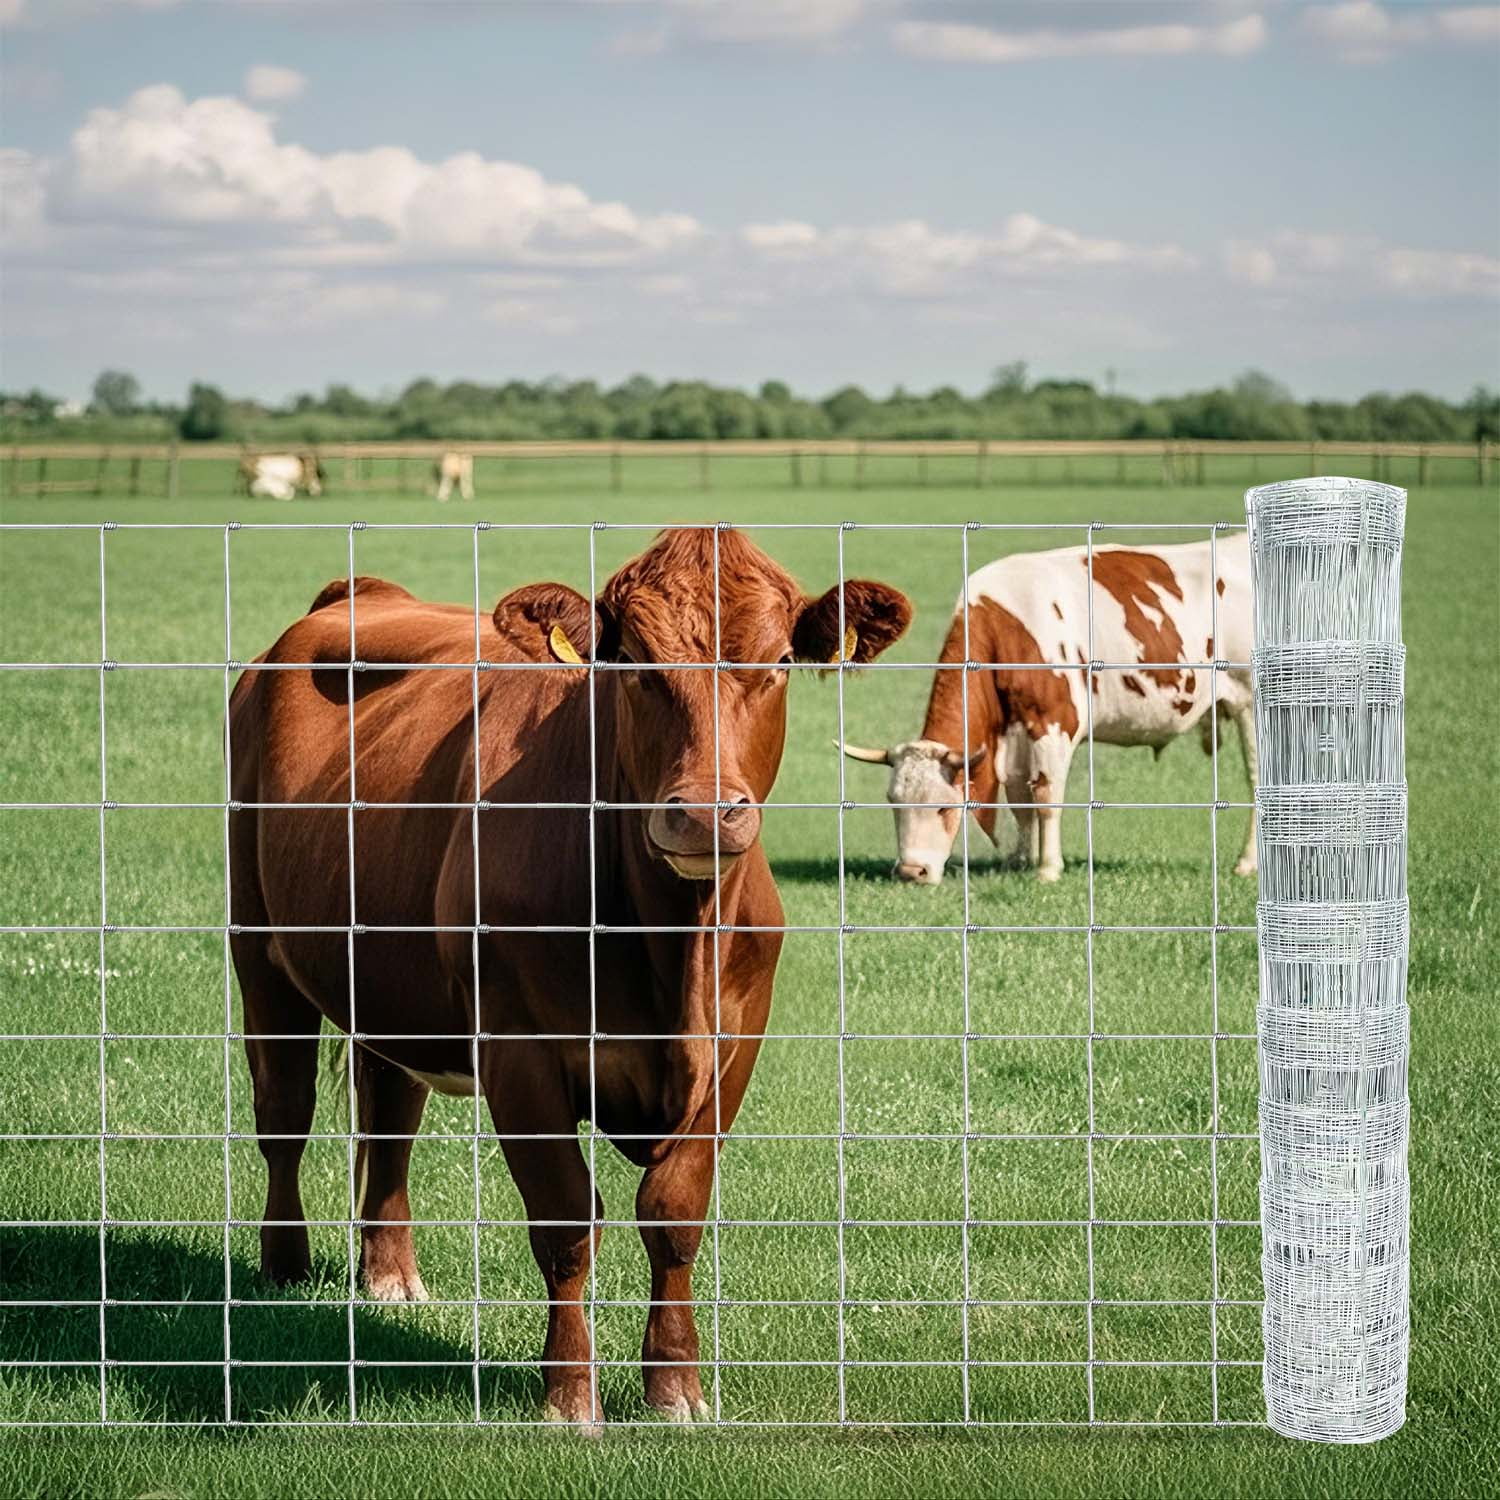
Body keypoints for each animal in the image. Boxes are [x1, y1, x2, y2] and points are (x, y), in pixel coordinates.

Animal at [226, 529, 911, 1428]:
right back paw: (284, 1263)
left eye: (778, 663)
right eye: (633, 663)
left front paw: (676, 1388)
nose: (704, 812)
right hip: (258, 951)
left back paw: (391, 1273)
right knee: (285, 1114)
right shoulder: (520, 1051)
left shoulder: (737, 1046)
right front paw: (569, 1395)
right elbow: (566, 1219)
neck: (671, 946)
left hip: (386, 977)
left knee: (388, 1113)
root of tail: (365, 593)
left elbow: (674, 1212)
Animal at [839, 533, 1256, 885]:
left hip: (1252, 705)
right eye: (893, 803)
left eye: (944, 807)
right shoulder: (1013, 735)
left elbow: (1045, 798)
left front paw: (1048, 869)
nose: (912, 872)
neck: (1003, 630)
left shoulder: (1053, 722)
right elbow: (1019, 801)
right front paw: (1020, 860)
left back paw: (1247, 863)